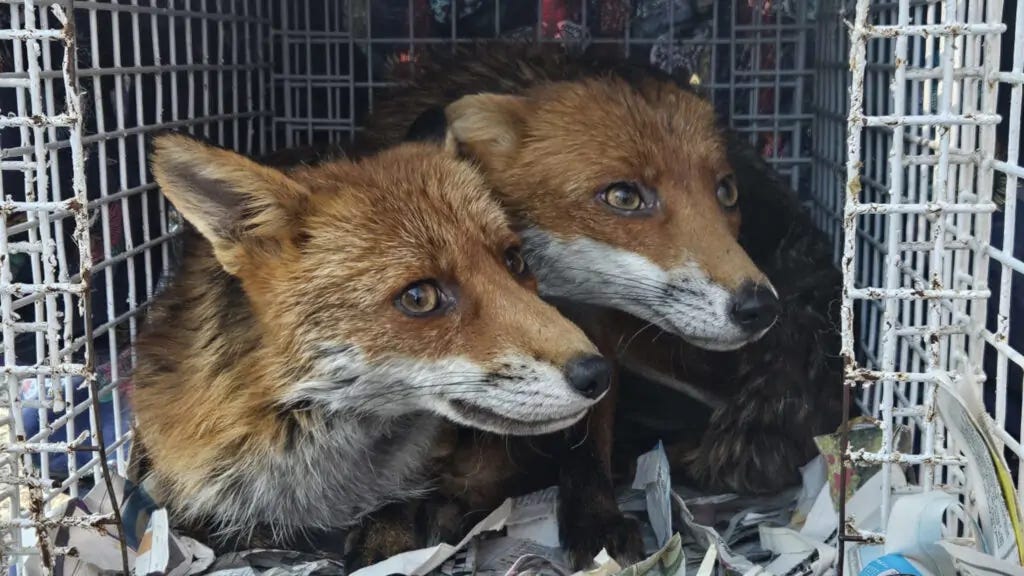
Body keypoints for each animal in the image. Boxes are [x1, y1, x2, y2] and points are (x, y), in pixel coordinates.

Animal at [318, 42, 843, 568]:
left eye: (725, 192)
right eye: (623, 196)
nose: (760, 307)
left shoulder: (596, 345)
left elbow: (583, 443)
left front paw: (593, 519)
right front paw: (386, 529)